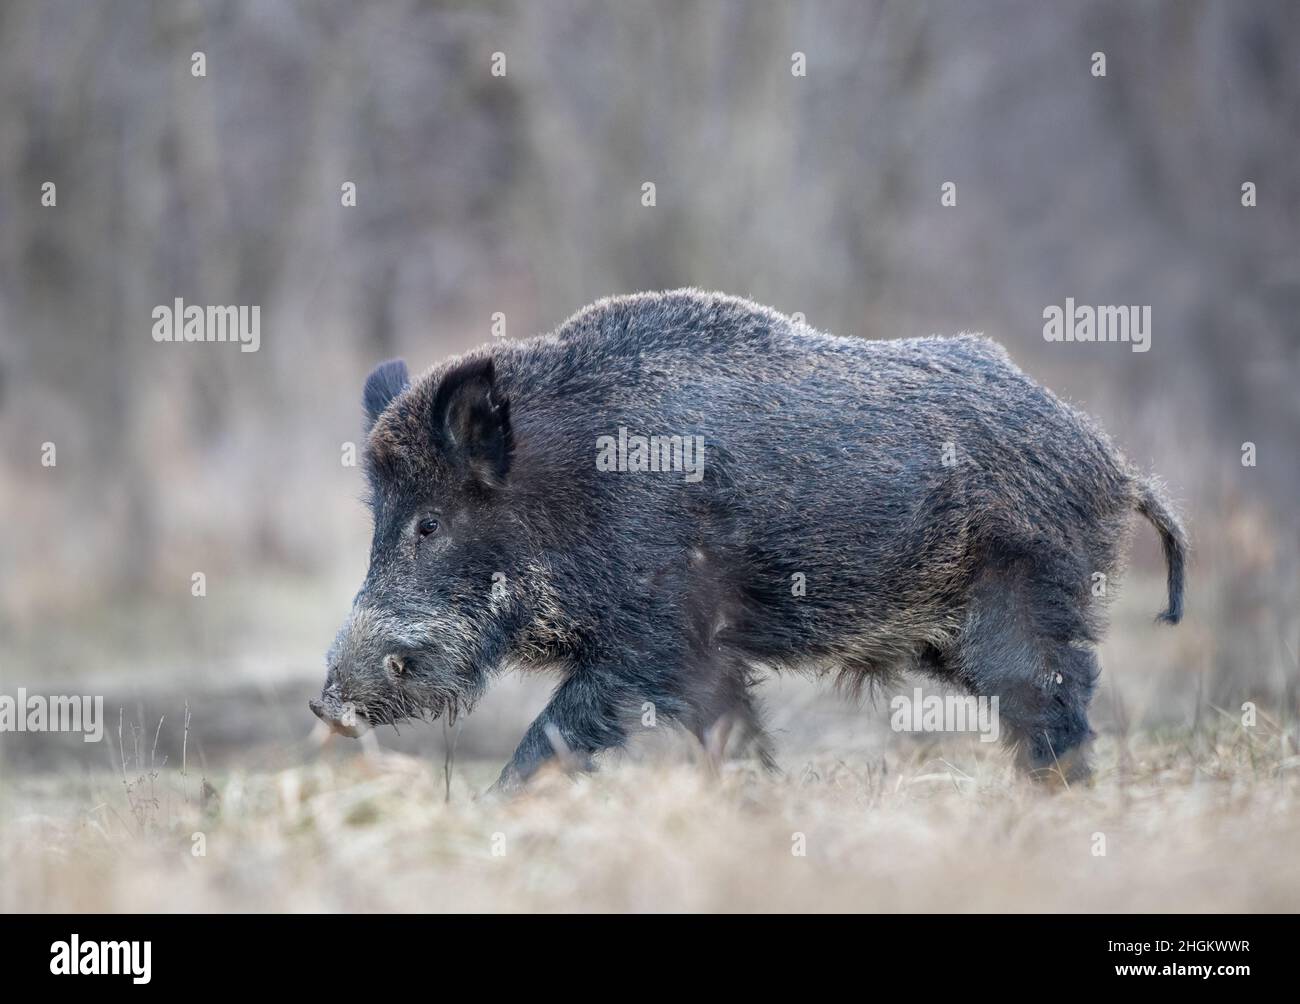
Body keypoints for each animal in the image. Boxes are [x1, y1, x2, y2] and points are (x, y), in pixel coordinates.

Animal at [311, 289, 1186, 788]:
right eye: (380, 520)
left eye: (430, 523)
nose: (328, 704)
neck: (568, 491)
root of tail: (1113, 464)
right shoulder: (708, 656)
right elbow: (731, 735)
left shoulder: (656, 639)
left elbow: (556, 734)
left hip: (1024, 599)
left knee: (1055, 697)